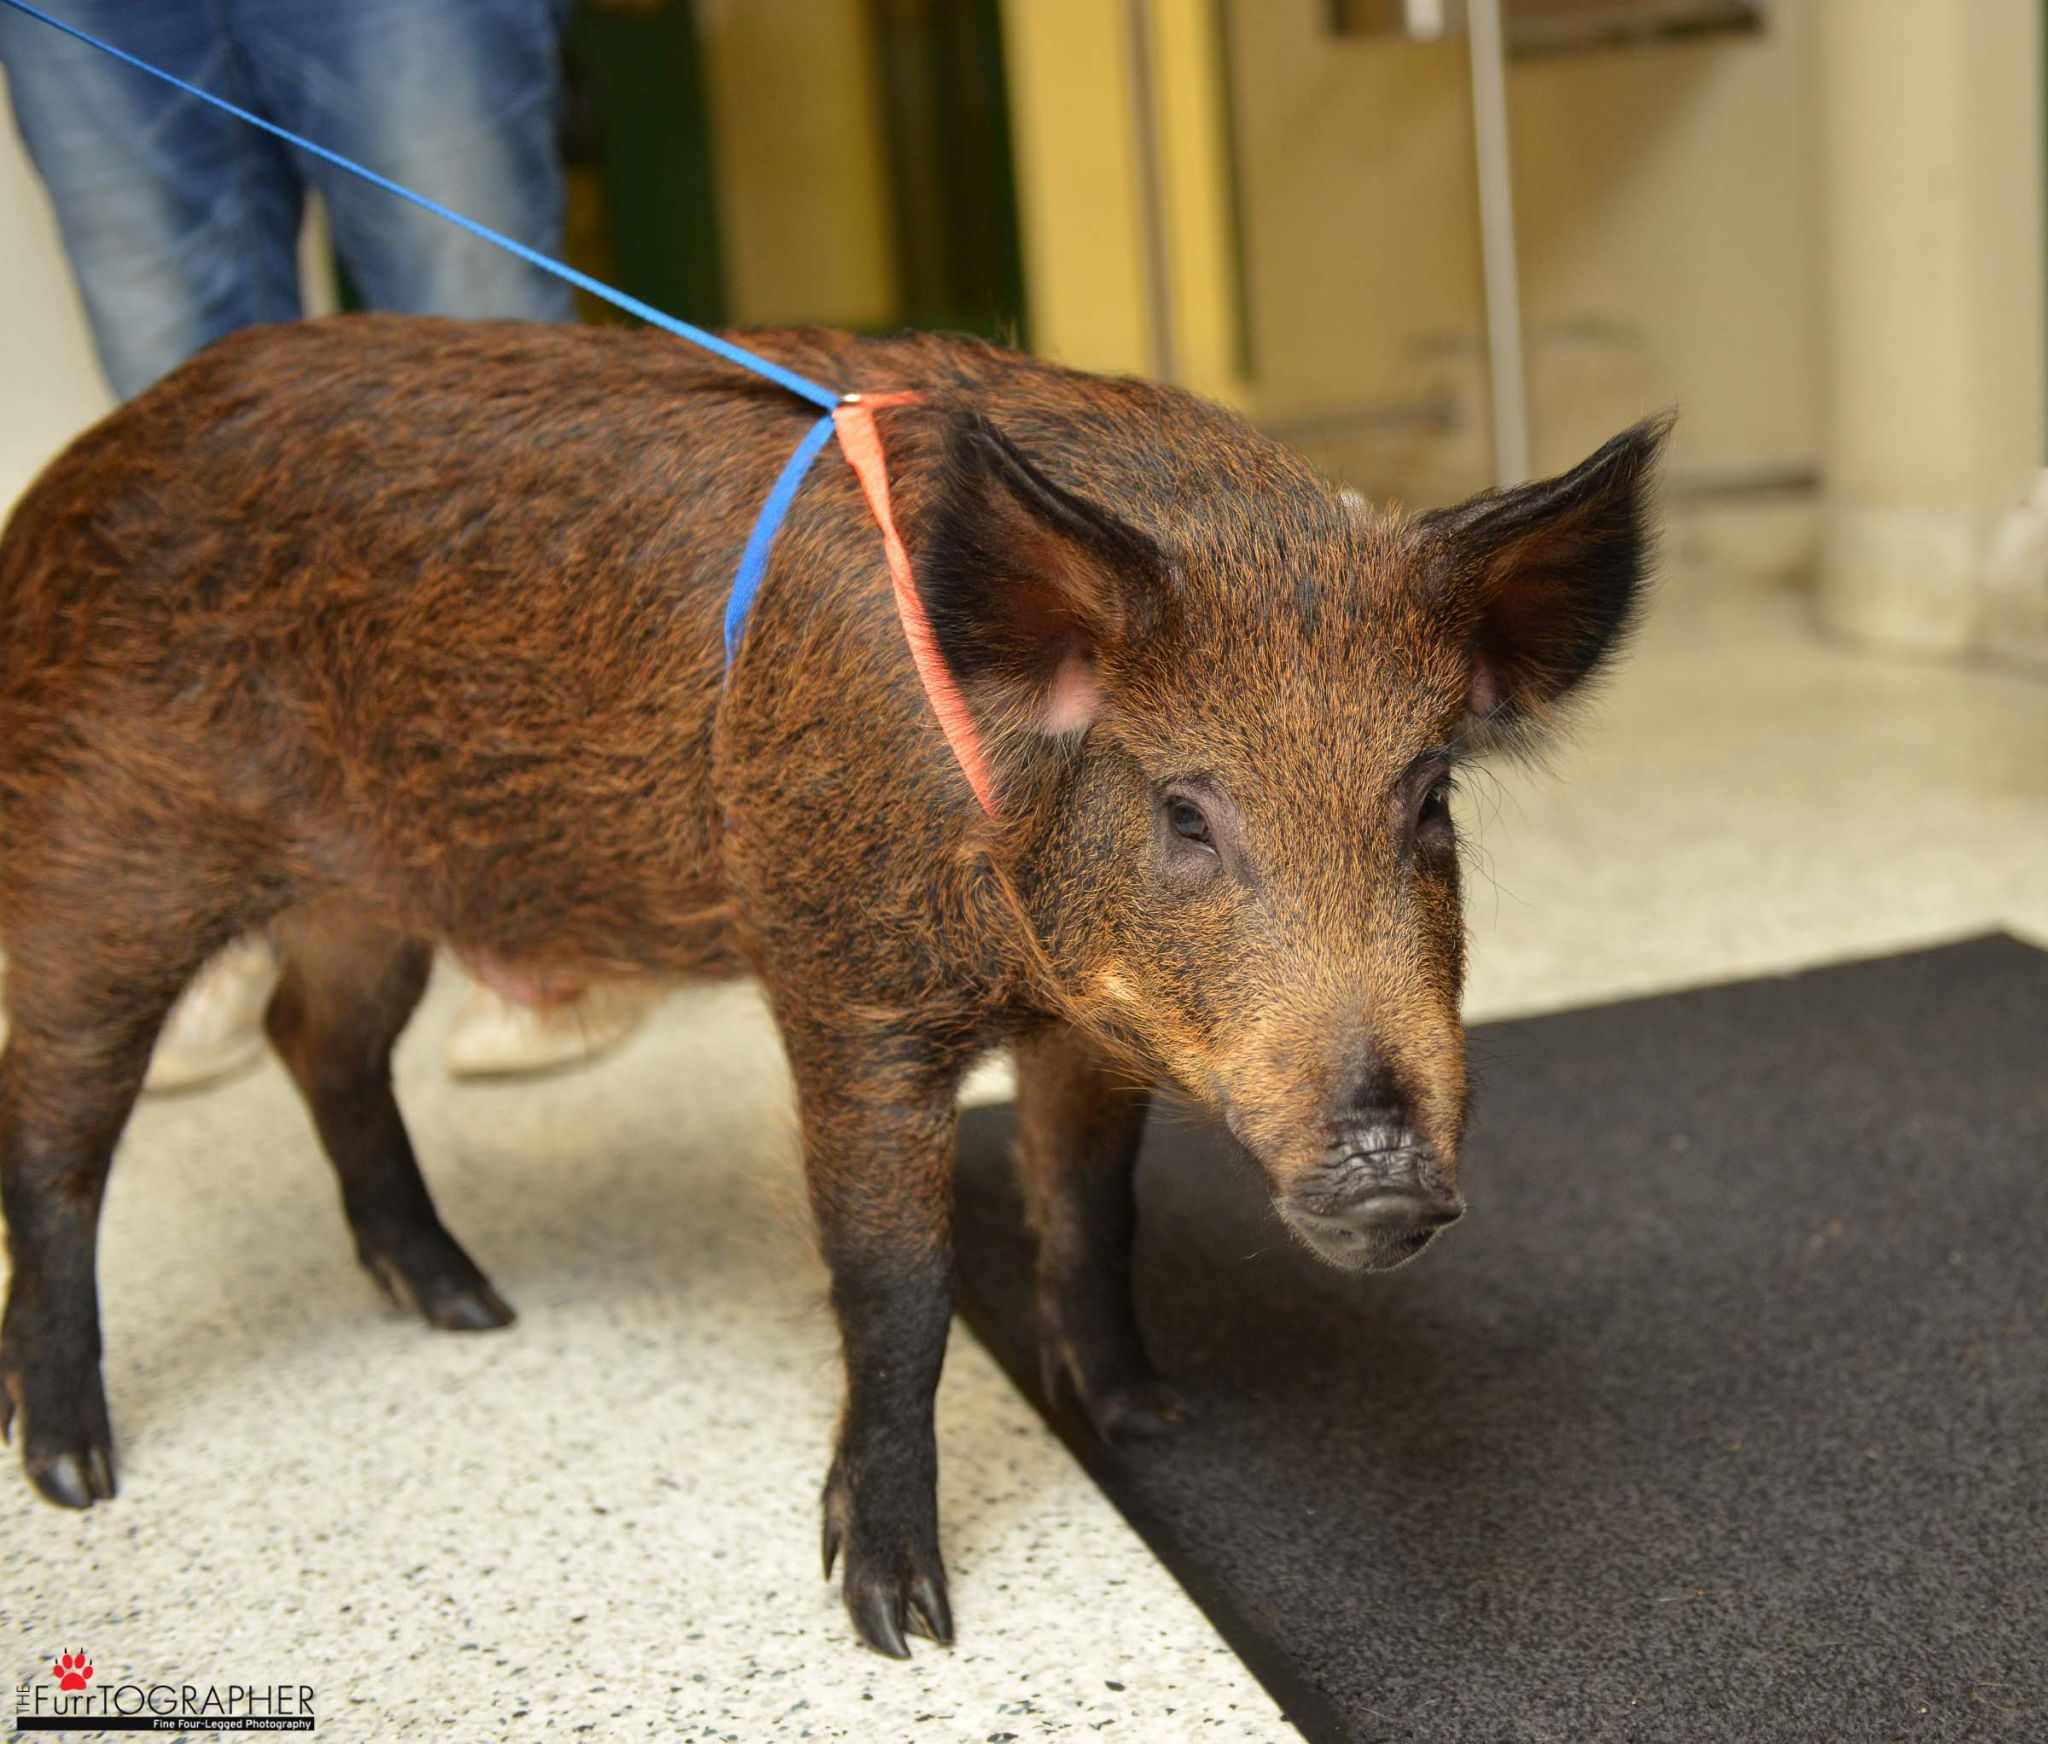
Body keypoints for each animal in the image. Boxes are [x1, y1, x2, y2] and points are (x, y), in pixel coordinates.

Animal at [0, 315, 1665, 1654]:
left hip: (367, 891)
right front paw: (901, 1624)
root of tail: (69, 475)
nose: (1389, 1174)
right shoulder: (846, 995)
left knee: (318, 1039)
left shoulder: (1085, 1034)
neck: (1018, 929)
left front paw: (1149, 1421)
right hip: (108, 857)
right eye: (1189, 812)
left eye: (1430, 797)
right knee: (61, 1126)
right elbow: (897, 1287)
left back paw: (468, 1309)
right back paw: (79, 1471)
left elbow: (1091, 1211)